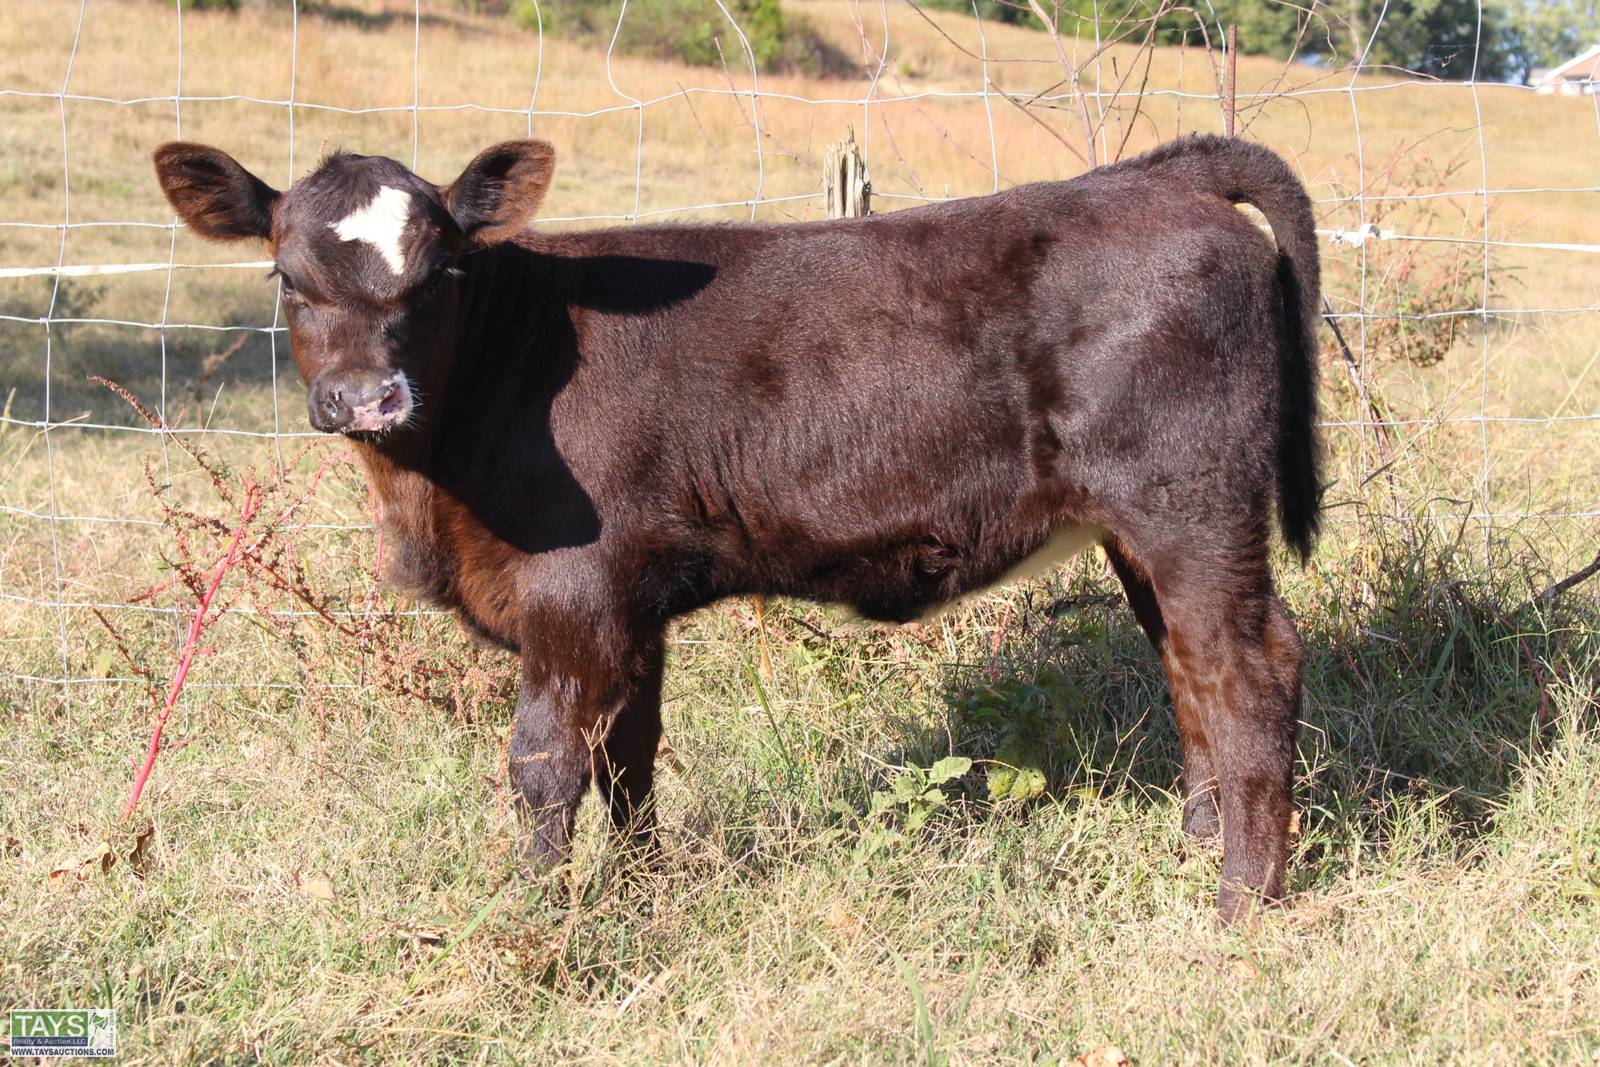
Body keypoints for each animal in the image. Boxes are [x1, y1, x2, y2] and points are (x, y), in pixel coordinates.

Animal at [153, 133, 1321, 921]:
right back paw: (1196, 849)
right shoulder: (631, 598)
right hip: (1142, 529)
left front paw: (533, 918)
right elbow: (629, 755)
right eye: (286, 276)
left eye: (440, 271)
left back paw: (1241, 902)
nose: (367, 398)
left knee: (1250, 669)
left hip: (1190, 502)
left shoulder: (574, 588)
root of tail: (1152, 180)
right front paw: (638, 888)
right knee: (1189, 671)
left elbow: (545, 761)